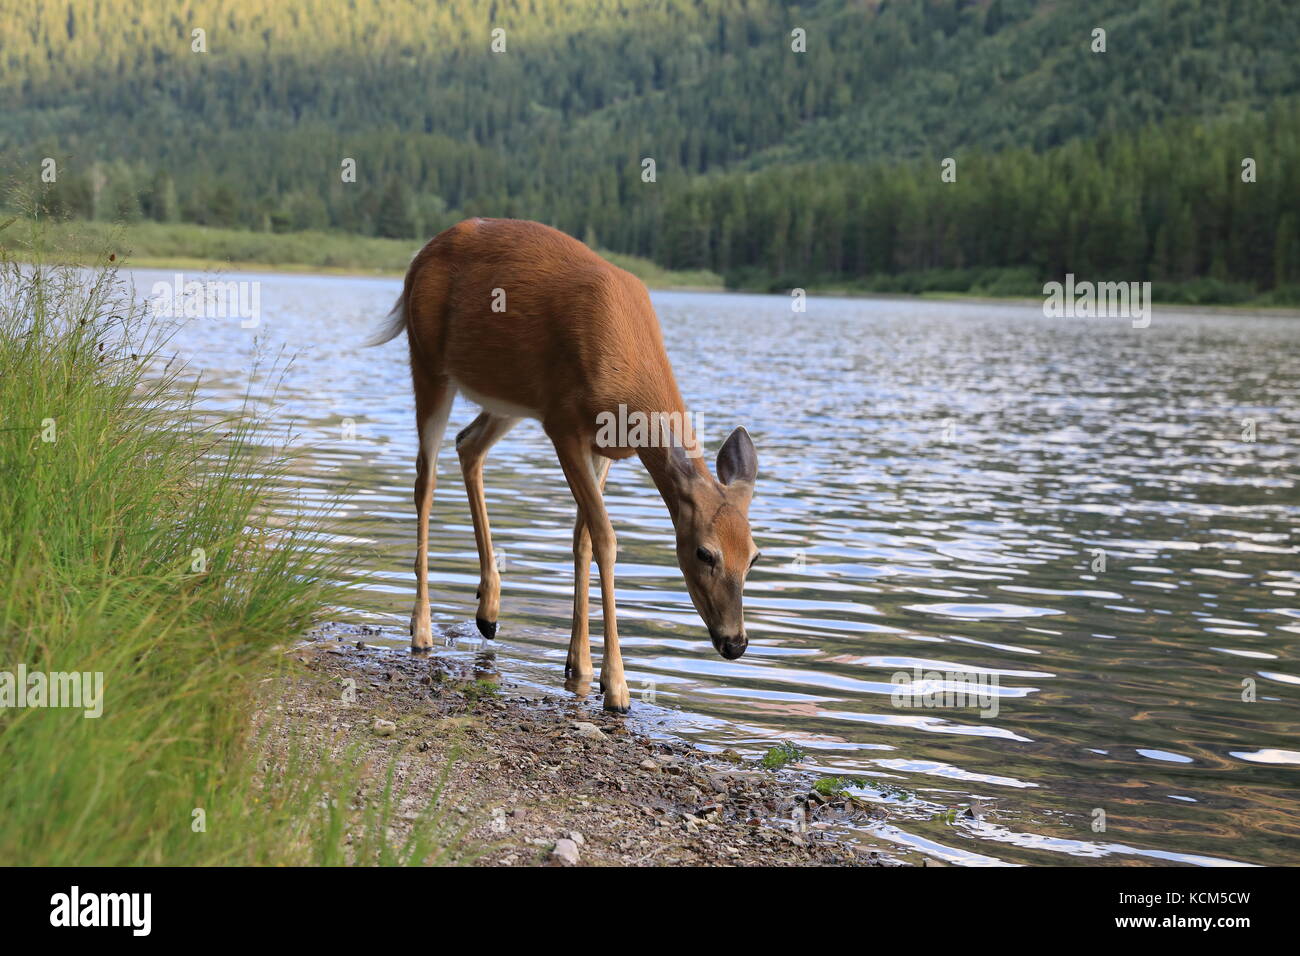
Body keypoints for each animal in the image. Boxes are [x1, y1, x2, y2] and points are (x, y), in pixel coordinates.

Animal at [366, 218, 760, 713]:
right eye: (705, 553)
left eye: (754, 557)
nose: (735, 643)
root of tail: (420, 256)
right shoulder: (563, 425)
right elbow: (606, 539)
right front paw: (616, 686)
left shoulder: (601, 445)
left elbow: (583, 541)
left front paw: (579, 666)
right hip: (429, 363)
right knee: (425, 479)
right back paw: (421, 628)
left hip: (510, 399)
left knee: (468, 445)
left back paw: (488, 610)